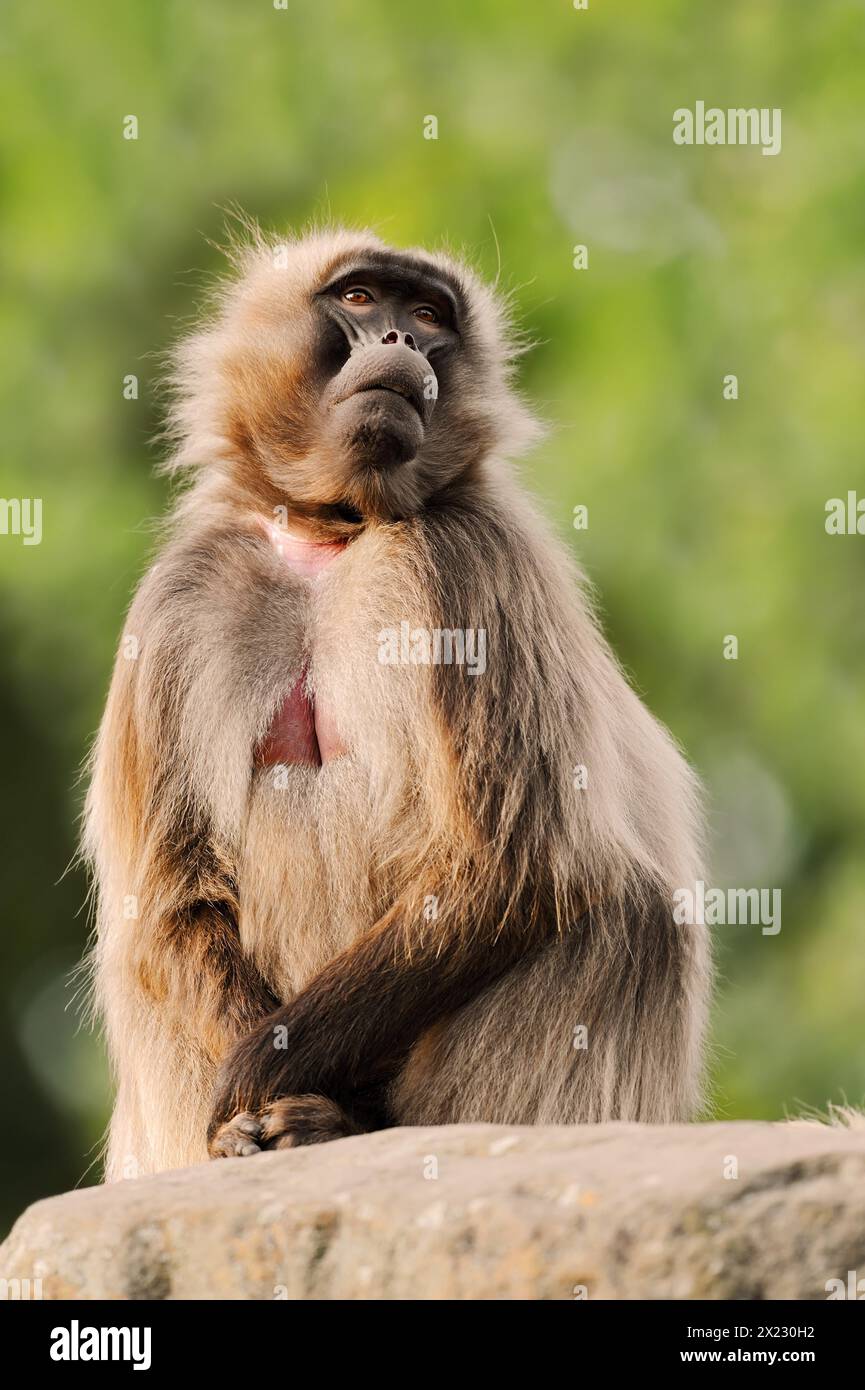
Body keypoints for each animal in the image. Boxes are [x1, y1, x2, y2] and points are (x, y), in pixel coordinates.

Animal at [83, 223, 711, 1178]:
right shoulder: (179, 599)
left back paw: (337, 1126)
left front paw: (252, 1086)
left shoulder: (466, 556)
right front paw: (241, 1106)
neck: (334, 533)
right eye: (357, 298)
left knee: (627, 913)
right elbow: (168, 904)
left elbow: (515, 865)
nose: (398, 341)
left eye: (426, 314)